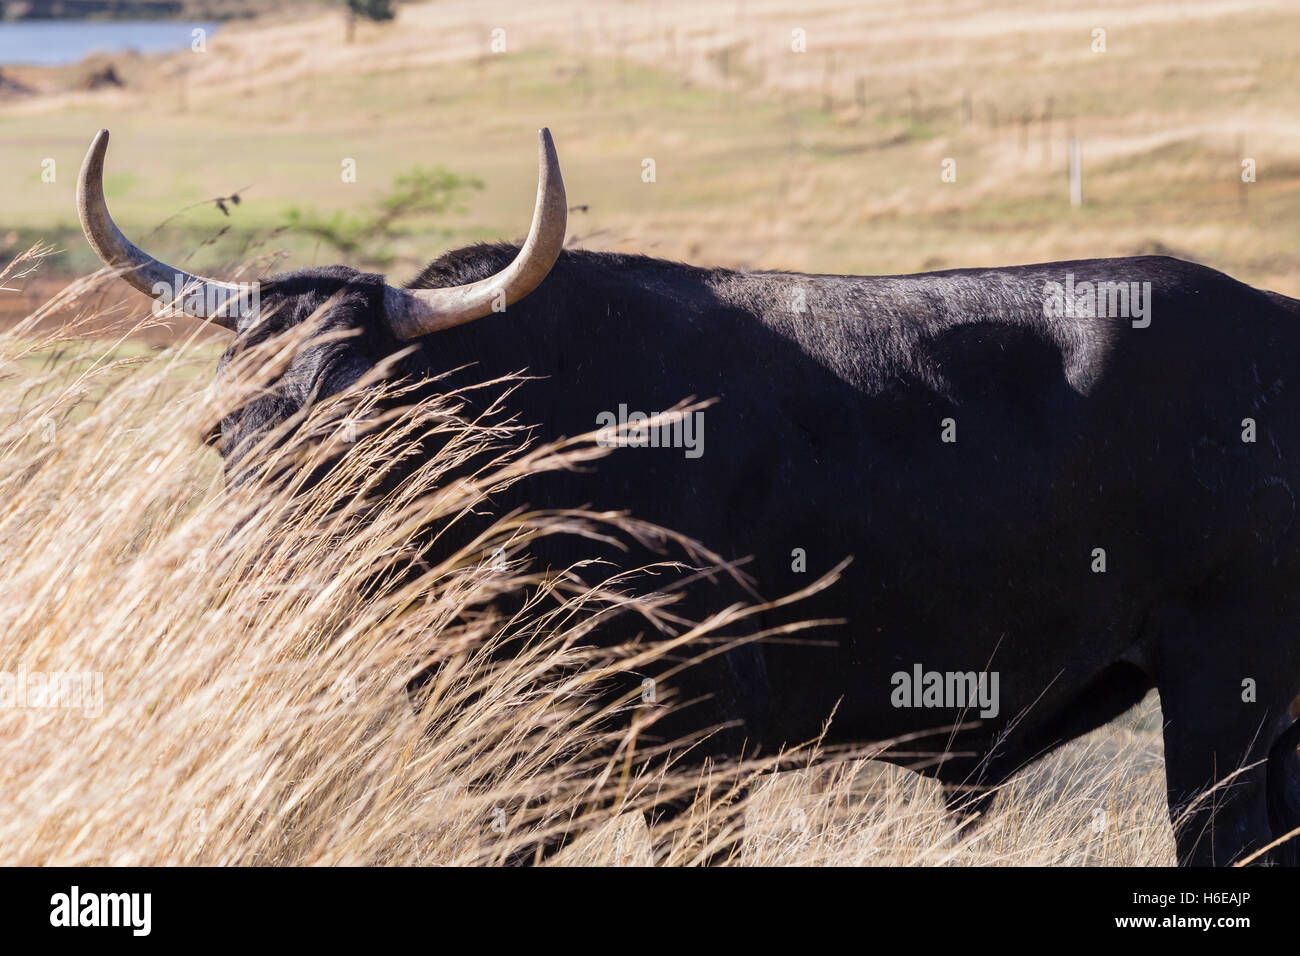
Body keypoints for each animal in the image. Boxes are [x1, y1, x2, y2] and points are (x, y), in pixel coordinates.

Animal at [77, 127, 1300, 866]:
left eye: (369, 433)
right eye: (223, 430)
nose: (255, 581)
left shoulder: (699, 758)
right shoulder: (498, 761)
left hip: (1223, 699)